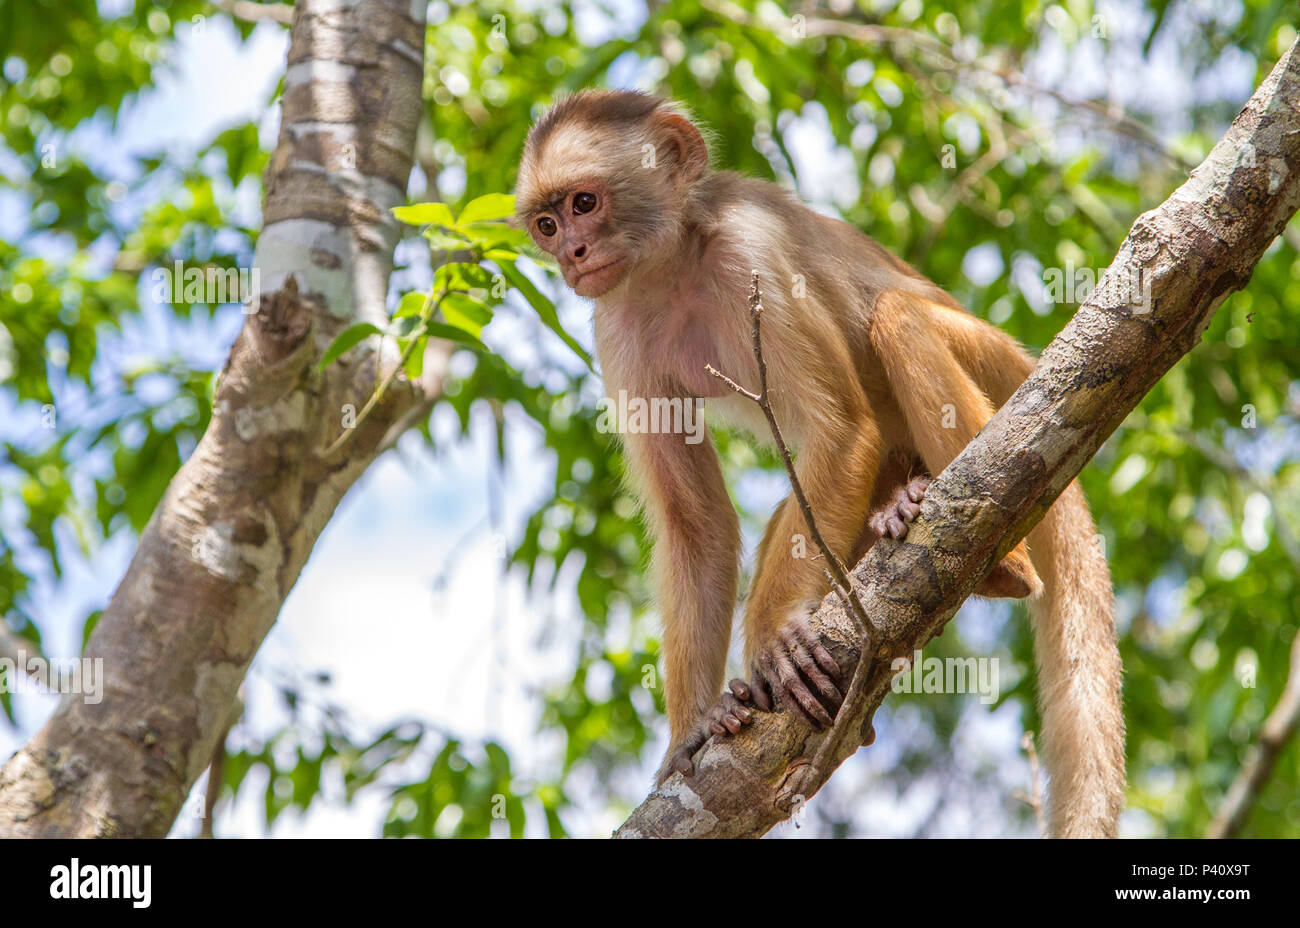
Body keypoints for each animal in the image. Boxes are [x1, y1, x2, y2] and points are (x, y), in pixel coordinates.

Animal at [514, 90, 1125, 838]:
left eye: (585, 203)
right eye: (546, 224)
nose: (572, 253)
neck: (677, 267)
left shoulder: (749, 250)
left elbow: (841, 431)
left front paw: (774, 637)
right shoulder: (616, 322)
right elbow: (697, 525)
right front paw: (694, 728)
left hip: (995, 371)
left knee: (897, 314)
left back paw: (1001, 565)